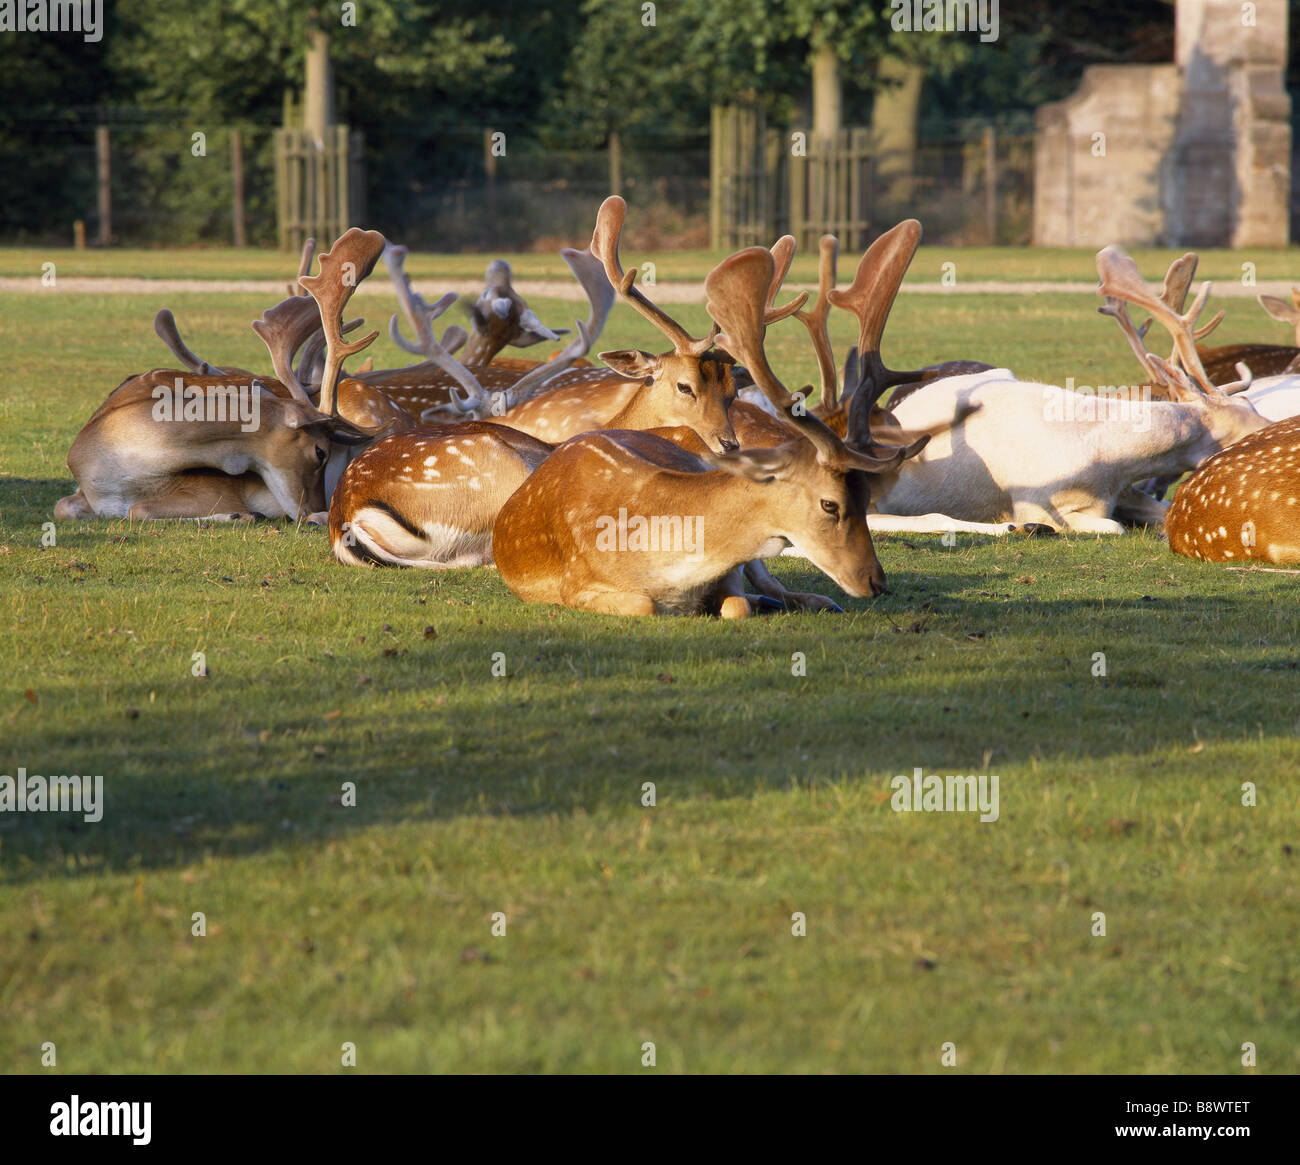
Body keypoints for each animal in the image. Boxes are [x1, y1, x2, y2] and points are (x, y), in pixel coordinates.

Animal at [489, 241, 932, 618]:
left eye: (866, 497)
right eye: (830, 504)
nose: (876, 581)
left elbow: (738, 603)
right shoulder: (576, 584)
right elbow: (644, 605)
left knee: (774, 586)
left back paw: (811, 599)